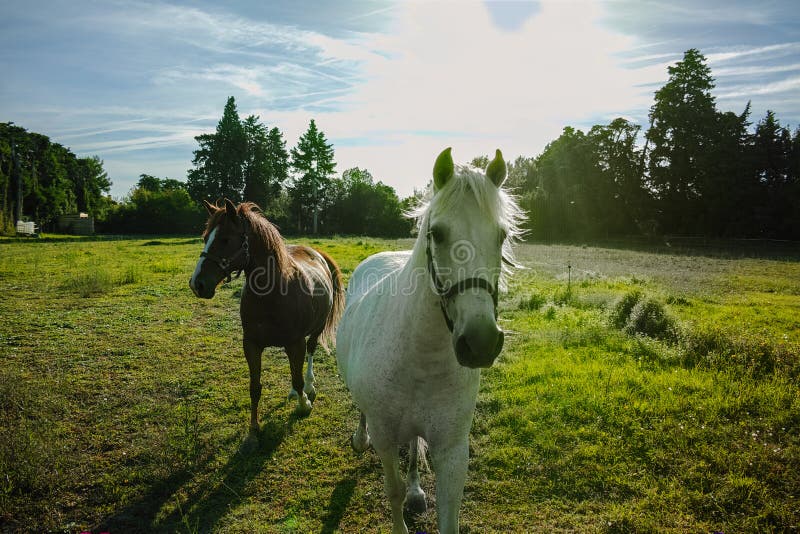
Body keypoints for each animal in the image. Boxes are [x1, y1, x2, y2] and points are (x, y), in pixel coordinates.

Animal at [189, 199, 345, 425]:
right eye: (205, 238)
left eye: (225, 240)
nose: (197, 284)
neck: (274, 293)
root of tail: (316, 254)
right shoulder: (251, 344)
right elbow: (255, 387)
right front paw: (254, 428)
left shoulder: (295, 343)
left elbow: (297, 379)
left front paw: (304, 404)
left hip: (317, 328)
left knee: (310, 353)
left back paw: (309, 386)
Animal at [336, 148, 522, 533]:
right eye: (436, 233)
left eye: (501, 235)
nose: (480, 342)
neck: (422, 356)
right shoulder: (385, 438)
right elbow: (391, 491)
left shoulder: (452, 449)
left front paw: (415, 492)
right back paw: (360, 439)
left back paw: (416, 491)